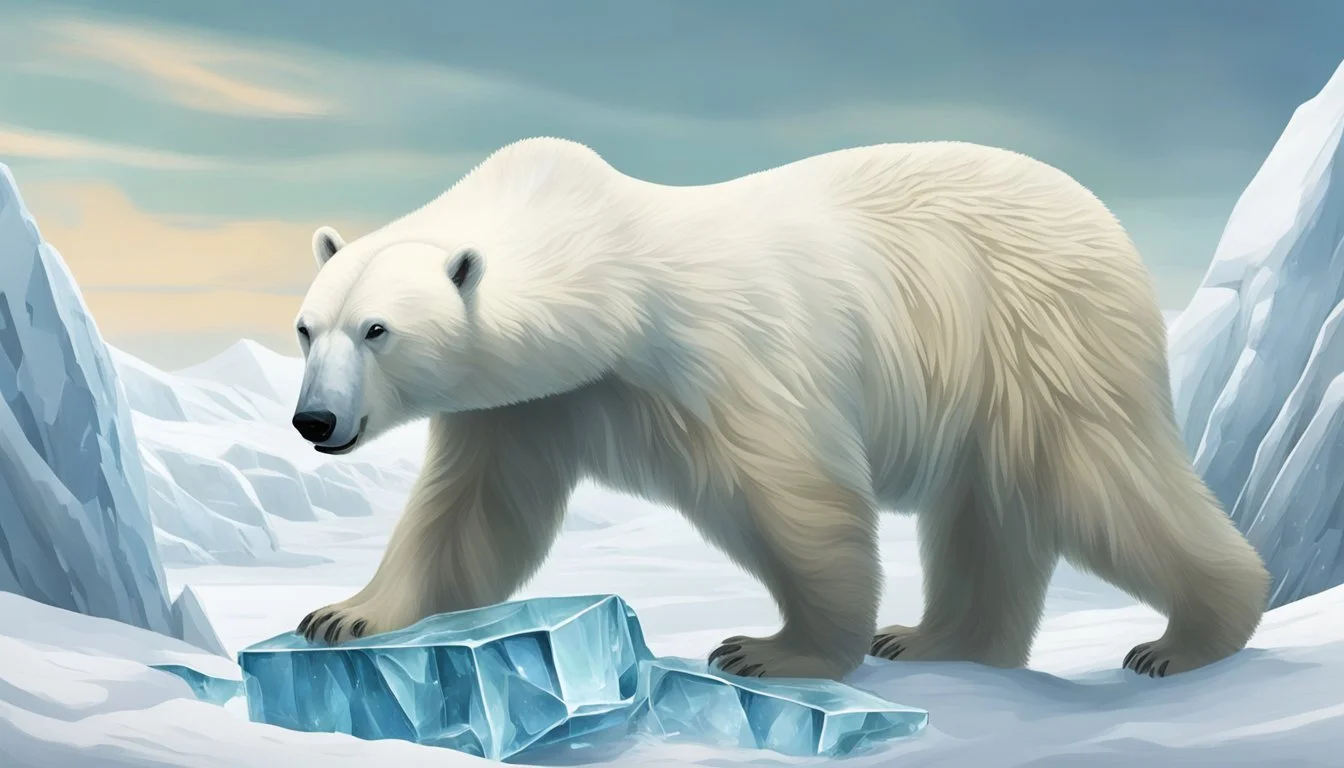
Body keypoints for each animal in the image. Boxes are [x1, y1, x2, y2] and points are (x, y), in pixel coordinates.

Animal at [289, 136, 1269, 681]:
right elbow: (468, 517)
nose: (314, 423)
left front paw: (774, 650)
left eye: (378, 331)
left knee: (1096, 480)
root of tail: (1103, 223)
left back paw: (1188, 637)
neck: (605, 273)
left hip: (1038, 333)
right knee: (987, 513)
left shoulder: (716, 356)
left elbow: (797, 493)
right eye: (308, 328)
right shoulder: (531, 403)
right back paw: (937, 639)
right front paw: (346, 614)